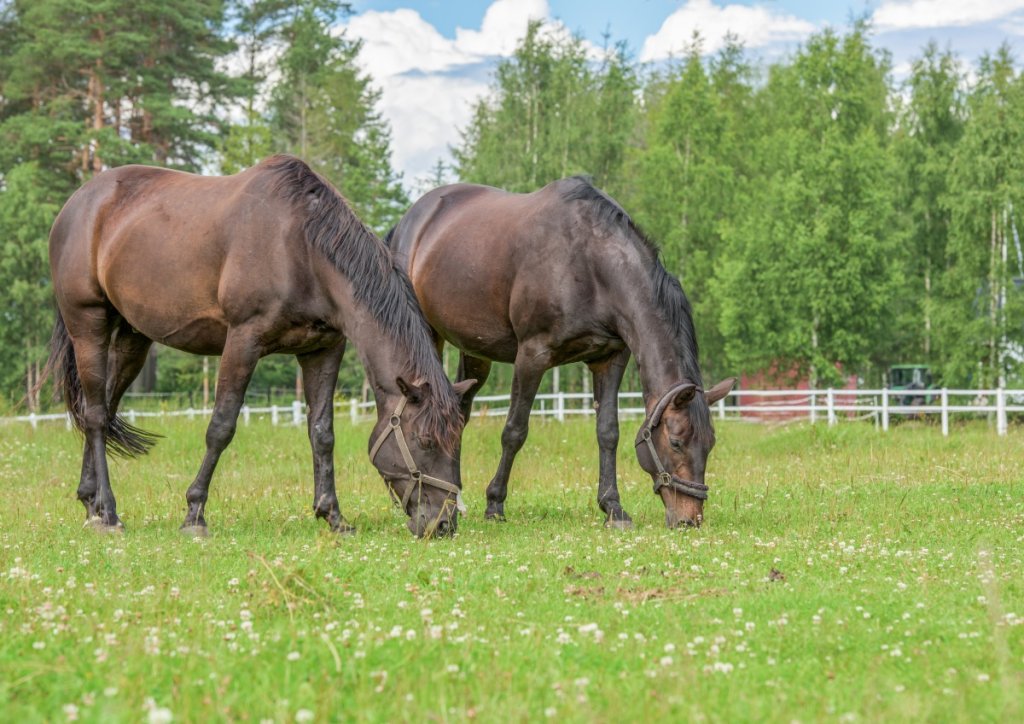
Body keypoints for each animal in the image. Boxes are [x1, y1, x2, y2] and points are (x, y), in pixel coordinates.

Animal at [43, 155, 473, 538]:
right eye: (424, 441)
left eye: (459, 440)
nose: (443, 524)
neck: (301, 249)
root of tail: (80, 202)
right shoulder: (243, 341)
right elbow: (221, 427)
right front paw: (194, 514)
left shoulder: (323, 350)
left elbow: (322, 432)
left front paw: (333, 516)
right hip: (88, 325)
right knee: (96, 415)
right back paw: (109, 513)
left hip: (134, 338)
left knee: (103, 404)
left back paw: (91, 503)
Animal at [387, 177, 735, 529]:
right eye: (676, 442)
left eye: (710, 443)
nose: (690, 519)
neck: (590, 264)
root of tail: (410, 219)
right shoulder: (532, 356)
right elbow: (514, 431)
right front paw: (495, 504)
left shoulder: (609, 359)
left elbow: (608, 432)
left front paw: (613, 507)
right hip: (428, 335)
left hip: (475, 351)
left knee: (460, 409)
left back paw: (453, 496)